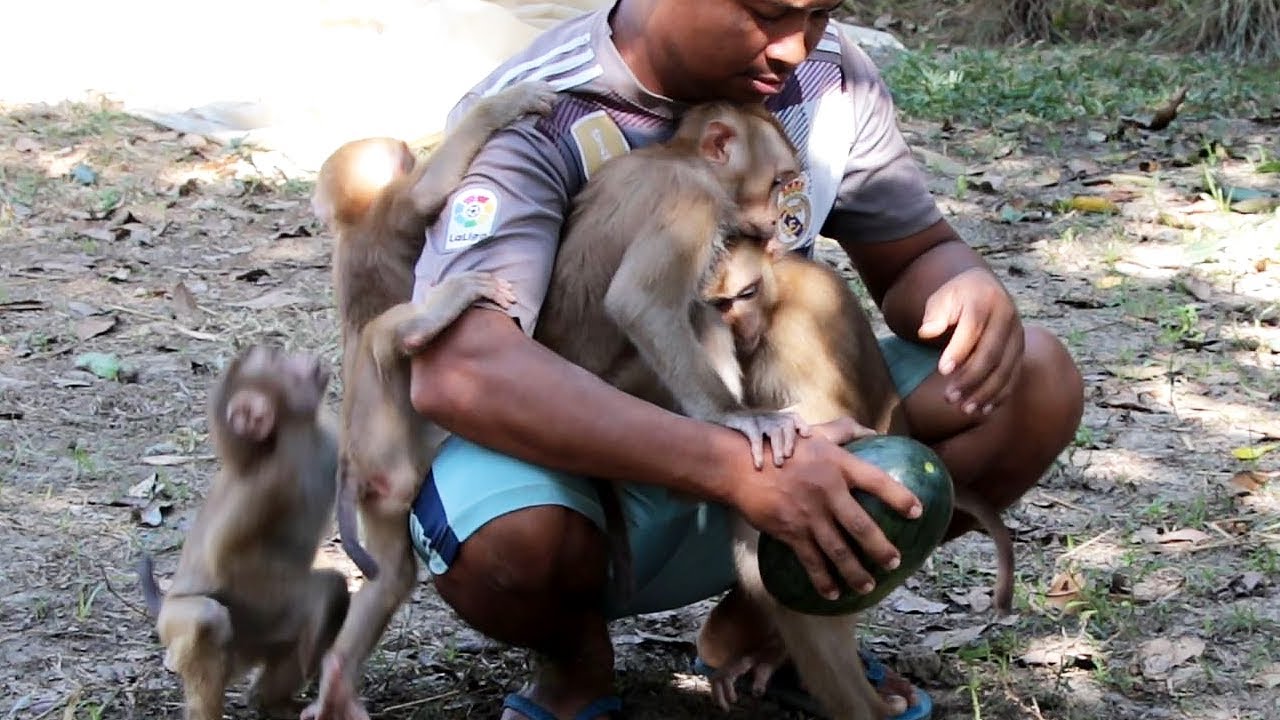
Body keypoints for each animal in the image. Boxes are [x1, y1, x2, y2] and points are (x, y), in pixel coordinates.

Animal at [136, 344, 349, 720]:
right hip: (181, 624)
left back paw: (272, 702)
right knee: (209, 619)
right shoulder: (272, 481)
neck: (300, 436)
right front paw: (324, 591)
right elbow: (229, 562)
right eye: (279, 362)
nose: (307, 360)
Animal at [300, 81, 555, 720]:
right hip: (385, 430)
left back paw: (337, 677)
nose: (406, 145)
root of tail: (351, 463)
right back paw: (429, 320)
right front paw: (503, 106)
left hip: (384, 487)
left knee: (390, 574)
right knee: (383, 340)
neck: (355, 217)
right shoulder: (397, 203)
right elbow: (431, 192)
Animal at [696, 238, 1016, 718]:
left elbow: (821, 415)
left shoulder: (795, 336)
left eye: (746, 294)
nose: (737, 326)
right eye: (716, 304)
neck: (774, 298)